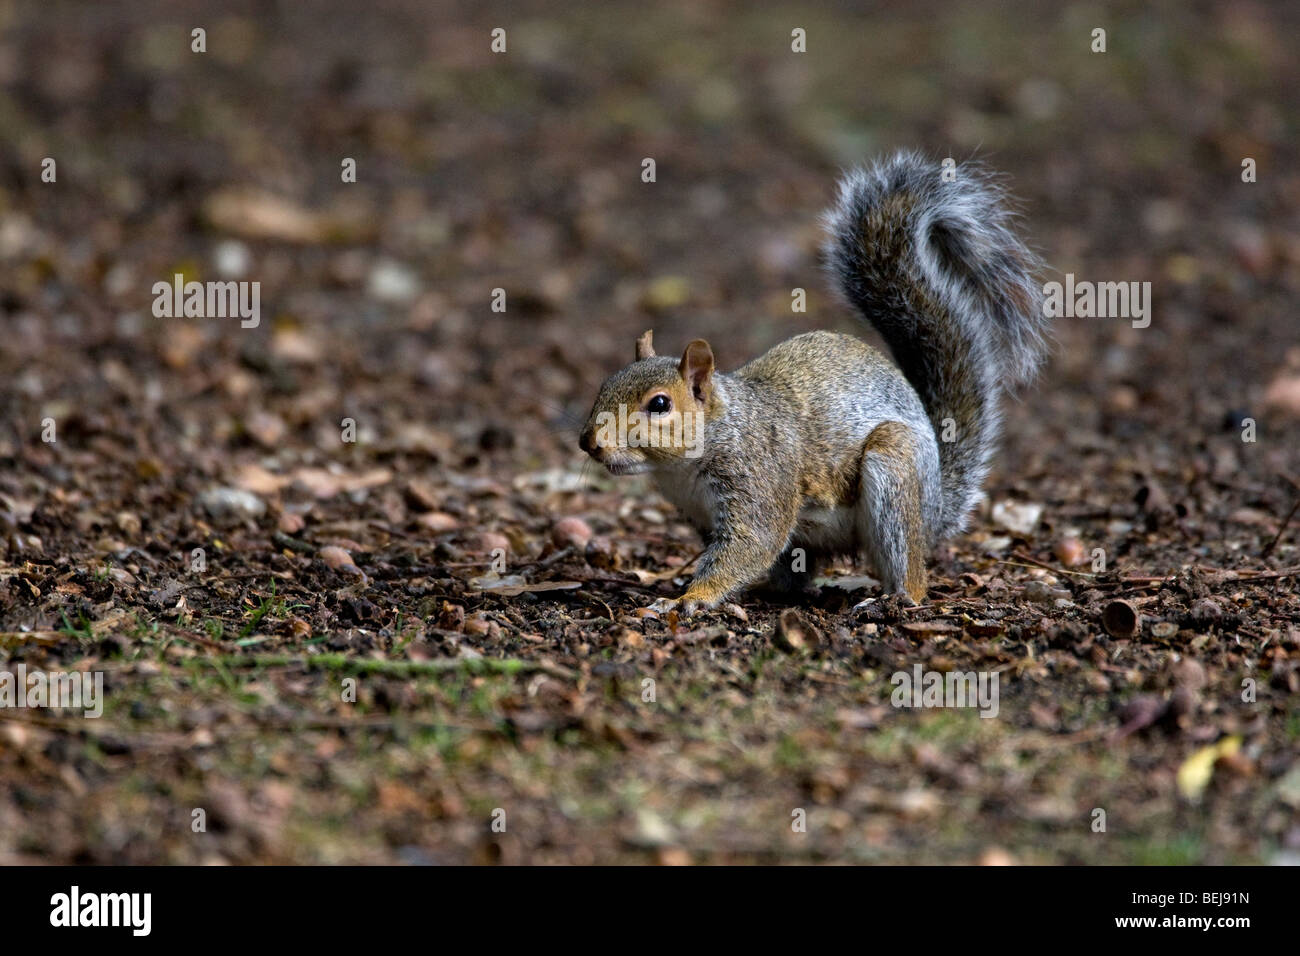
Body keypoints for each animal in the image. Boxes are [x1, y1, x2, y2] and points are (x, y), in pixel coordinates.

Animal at [578, 152, 1048, 616]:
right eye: (603, 385)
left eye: (659, 404)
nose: (589, 442)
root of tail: (935, 510)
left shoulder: (759, 482)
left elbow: (750, 544)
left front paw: (688, 599)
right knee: (796, 576)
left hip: (894, 473)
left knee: (910, 570)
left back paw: (894, 599)